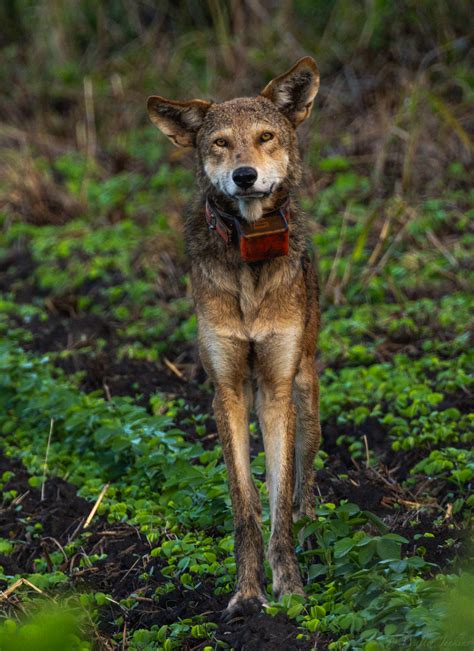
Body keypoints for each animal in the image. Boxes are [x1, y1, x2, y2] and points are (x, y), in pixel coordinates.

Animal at [148, 57, 321, 618]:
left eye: (266, 137)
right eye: (221, 143)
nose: (245, 176)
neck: (250, 256)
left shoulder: (275, 389)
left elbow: (278, 503)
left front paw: (290, 590)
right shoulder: (225, 391)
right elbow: (245, 505)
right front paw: (247, 594)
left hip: (305, 394)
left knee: (303, 481)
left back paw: (311, 525)